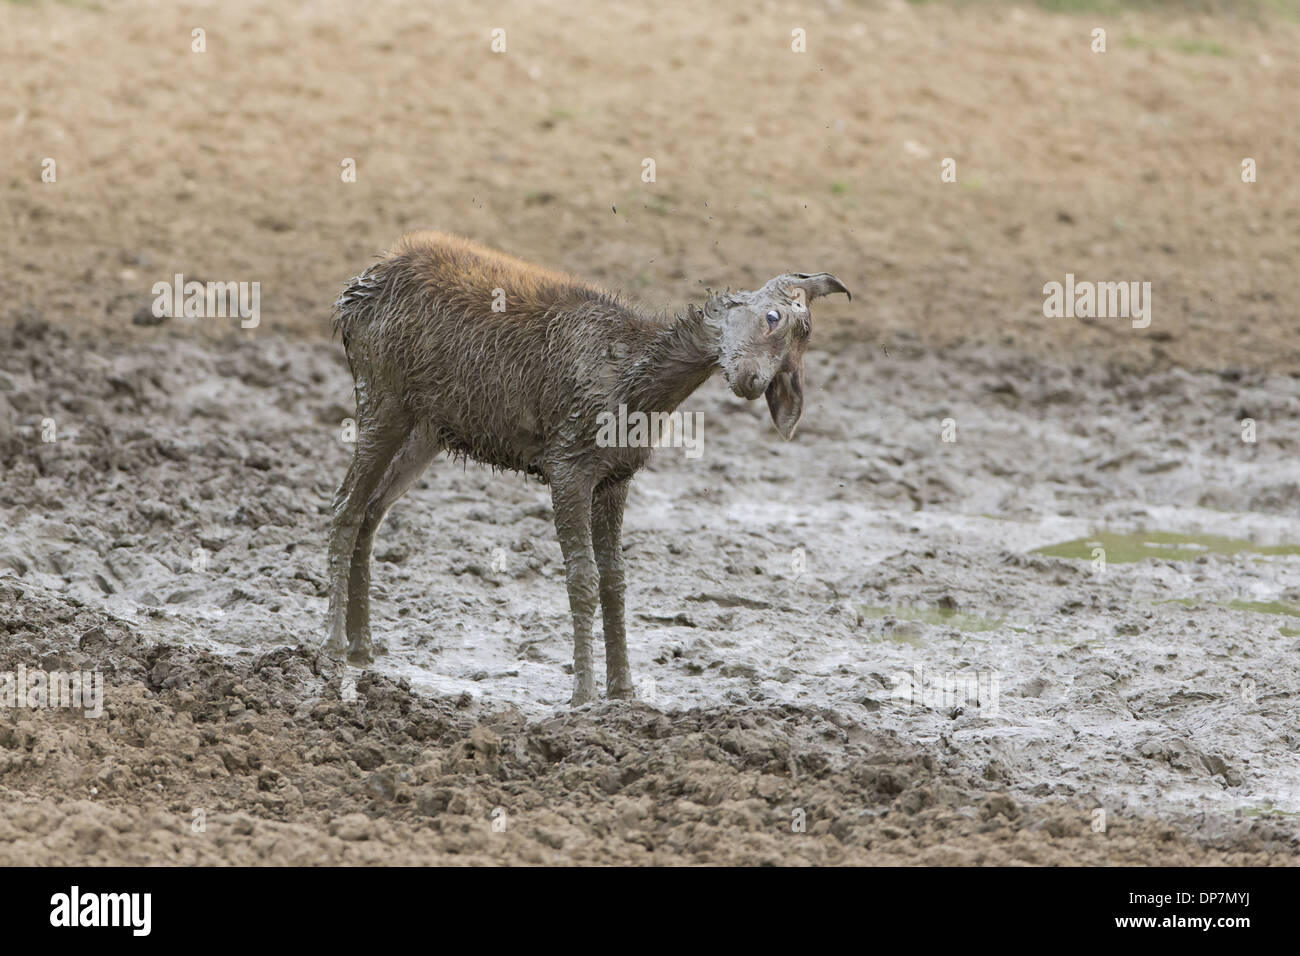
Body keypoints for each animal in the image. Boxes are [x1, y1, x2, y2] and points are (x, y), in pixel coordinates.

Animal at [323, 231, 850, 705]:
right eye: (773, 315)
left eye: (799, 348)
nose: (751, 381)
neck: (640, 395)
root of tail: (349, 299)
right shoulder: (566, 463)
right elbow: (582, 576)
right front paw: (581, 693)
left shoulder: (617, 477)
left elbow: (615, 579)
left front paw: (624, 690)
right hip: (380, 393)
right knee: (344, 505)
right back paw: (332, 647)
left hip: (428, 429)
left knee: (372, 509)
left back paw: (364, 646)